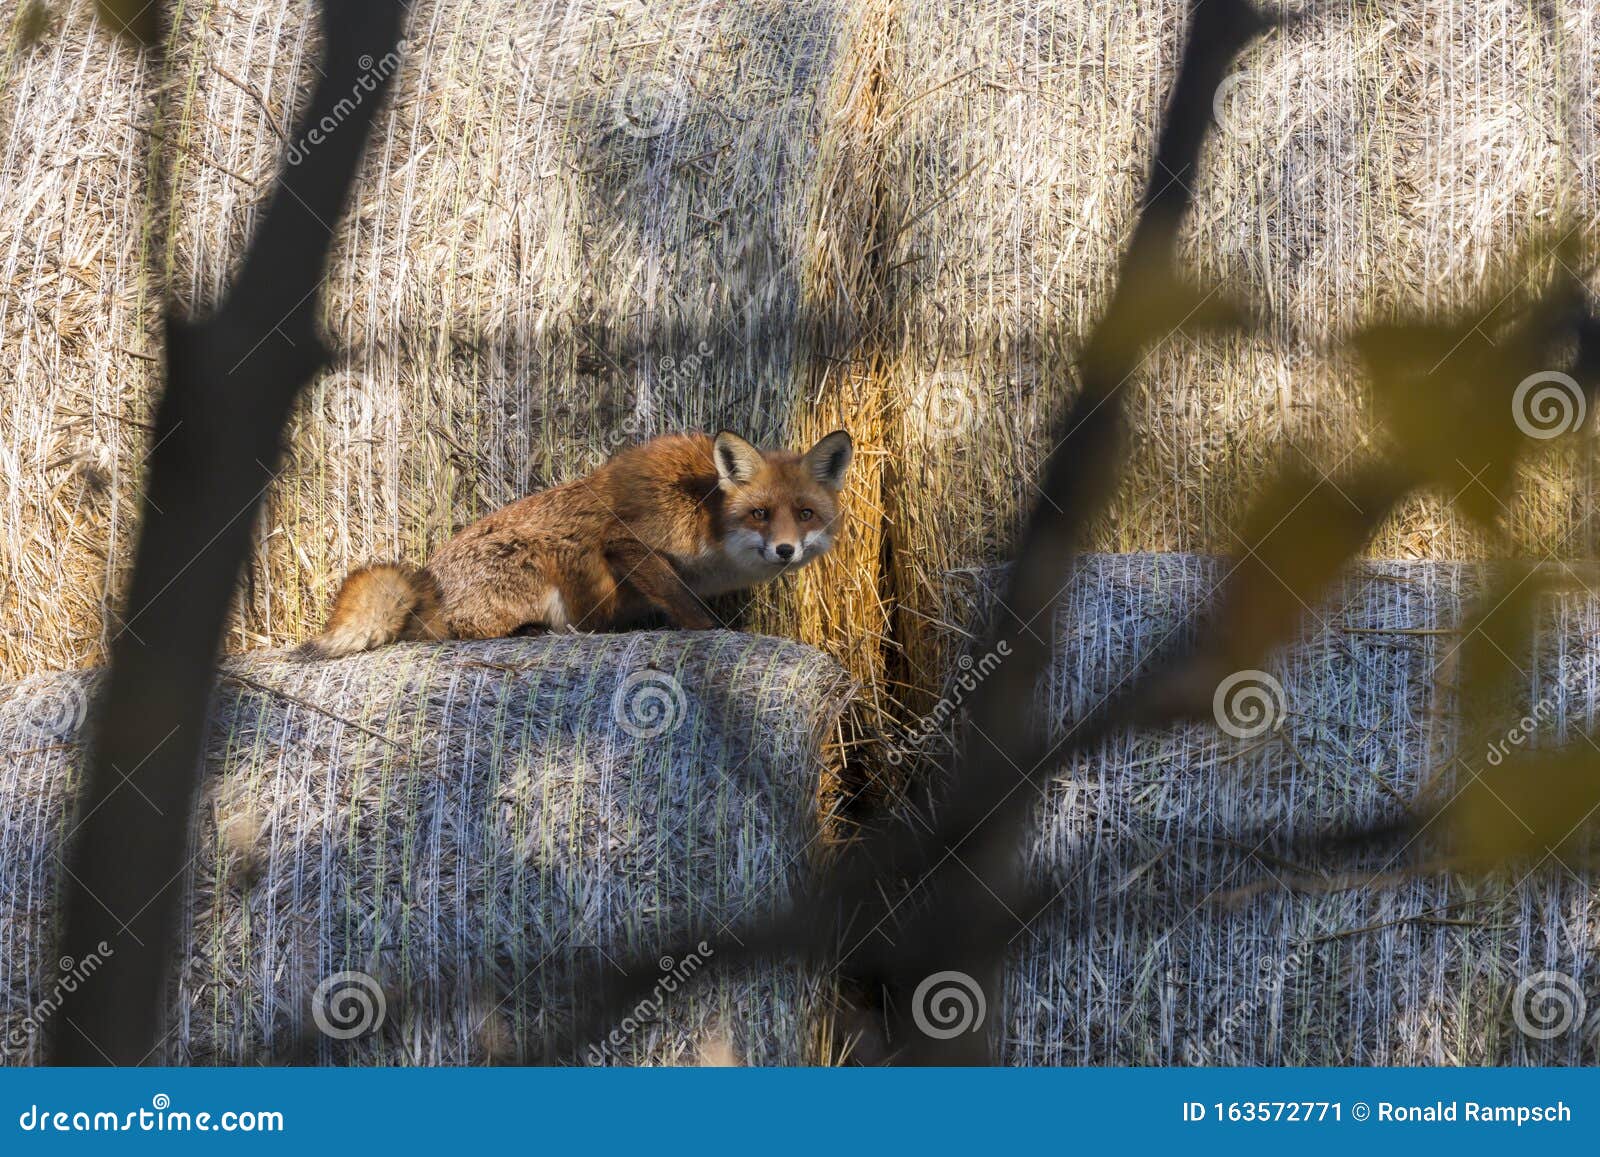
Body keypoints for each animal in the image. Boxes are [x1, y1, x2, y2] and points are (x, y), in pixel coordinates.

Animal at [296, 429, 853, 659]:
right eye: (760, 514)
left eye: (805, 514)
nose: (786, 550)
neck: (708, 515)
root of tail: (430, 586)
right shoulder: (628, 542)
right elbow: (691, 610)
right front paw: (713, 633)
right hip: (532, 569)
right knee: (457, 634)